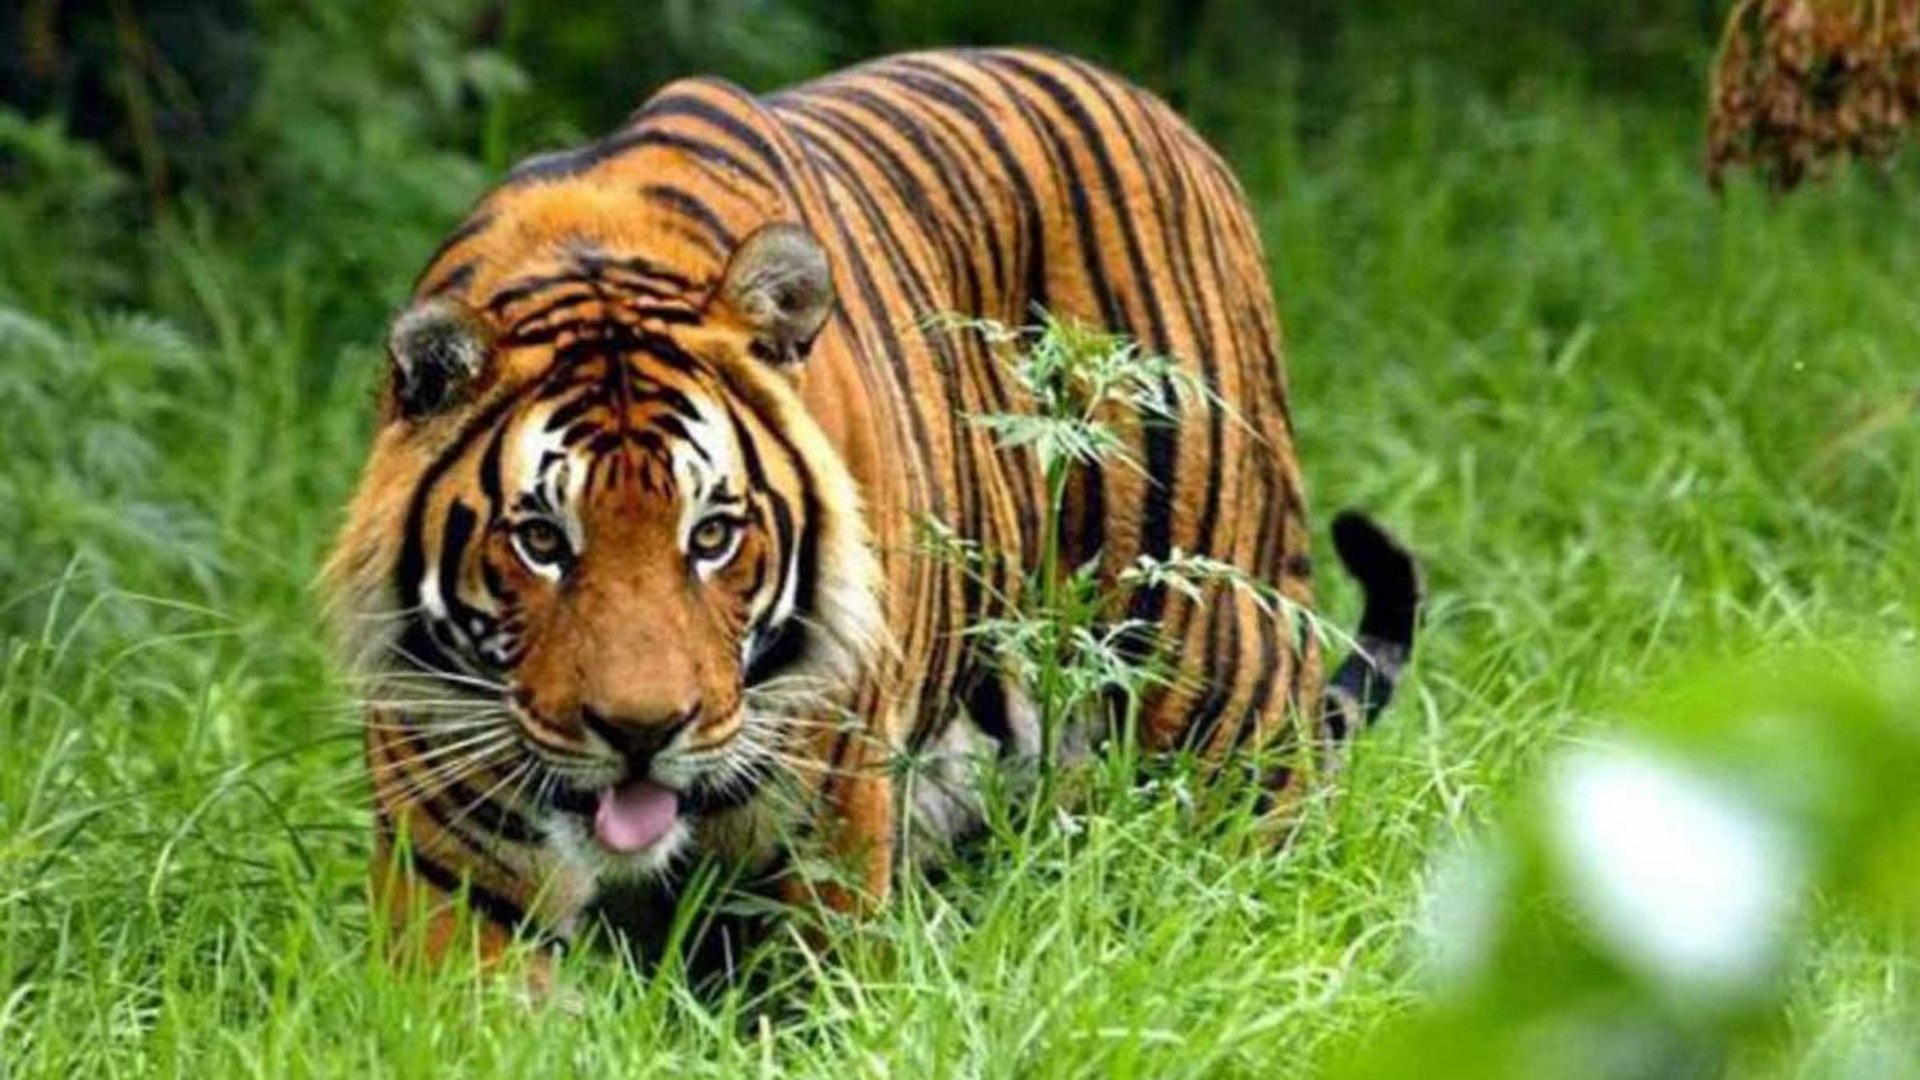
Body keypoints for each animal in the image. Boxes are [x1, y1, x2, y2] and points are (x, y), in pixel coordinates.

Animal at [324, 47, 1419, 976]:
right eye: (543, 542)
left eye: (712, 536)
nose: (642, 733)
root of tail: (1163, 114)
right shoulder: (456, 878)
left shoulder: (828, 830)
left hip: (1217, 679)